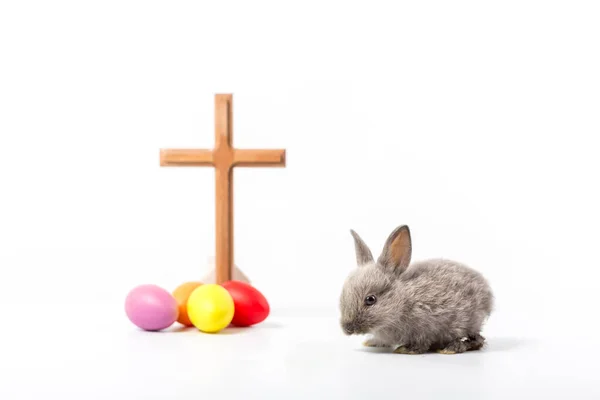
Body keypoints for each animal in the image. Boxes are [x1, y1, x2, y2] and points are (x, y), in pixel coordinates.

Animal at [340, 225, 494, 354]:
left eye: (370, 299)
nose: (347, 328)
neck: (402, 302)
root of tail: (488, 296)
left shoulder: (426, 325)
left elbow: (422, 343)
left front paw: (407, 349)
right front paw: (372, 342)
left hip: (468, 322)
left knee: (477, 340)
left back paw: (451, 348)